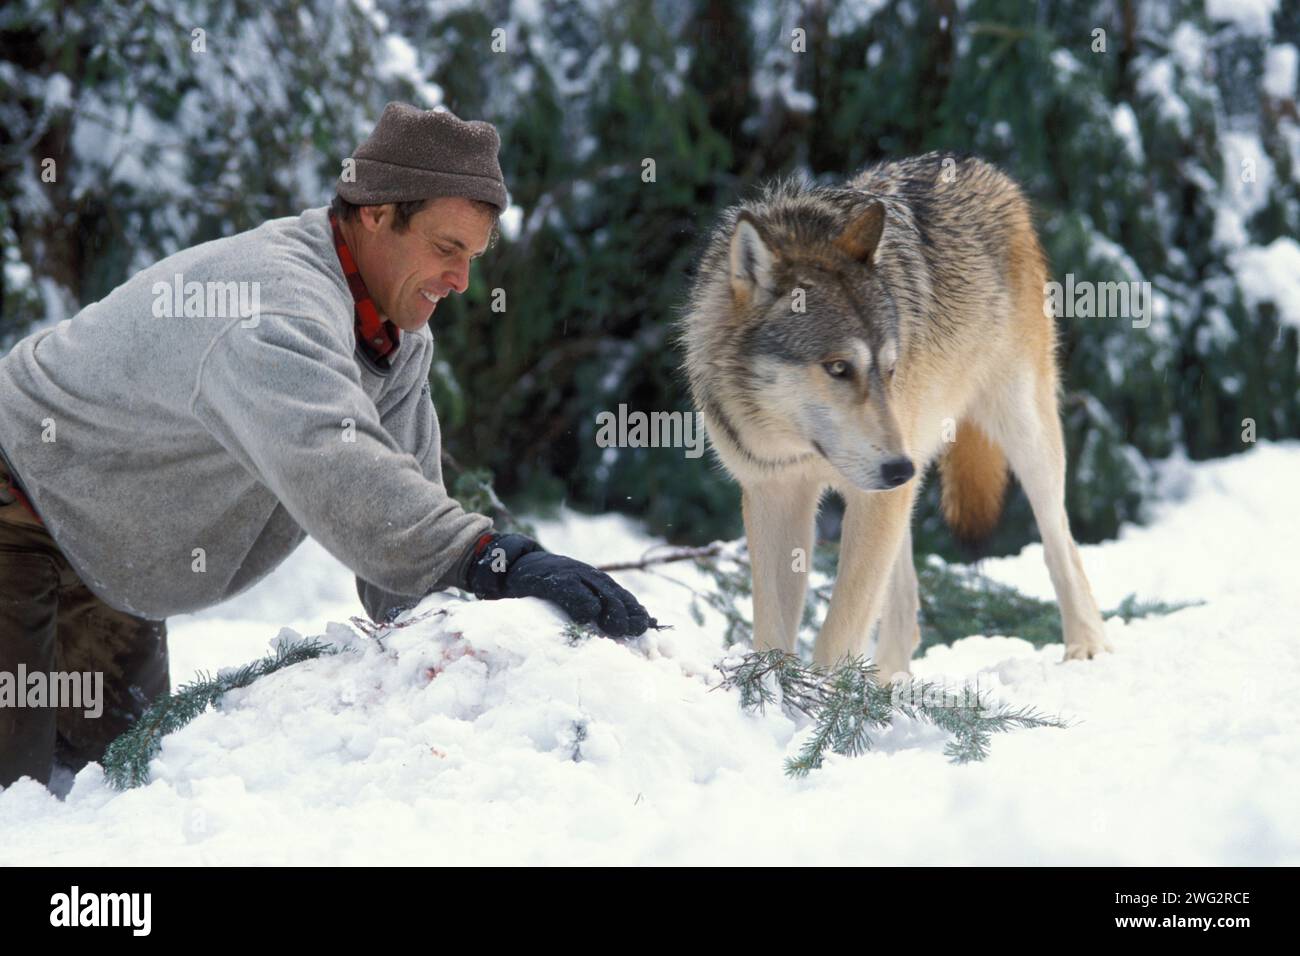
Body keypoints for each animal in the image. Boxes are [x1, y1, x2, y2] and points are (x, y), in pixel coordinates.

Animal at [680, 152, 1112, 681]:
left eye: (889, 368)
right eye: (838, 368)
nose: (900, 467)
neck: (792, 443)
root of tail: (979, 166)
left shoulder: (874, 490)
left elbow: (838, 633)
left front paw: (826, 699)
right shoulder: (774, 490)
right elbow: (774, 634)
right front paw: (774, 694)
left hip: (1020, 435)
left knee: (1060, 543)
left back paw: (1087, 647)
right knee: (903, 604)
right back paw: (889, 683)